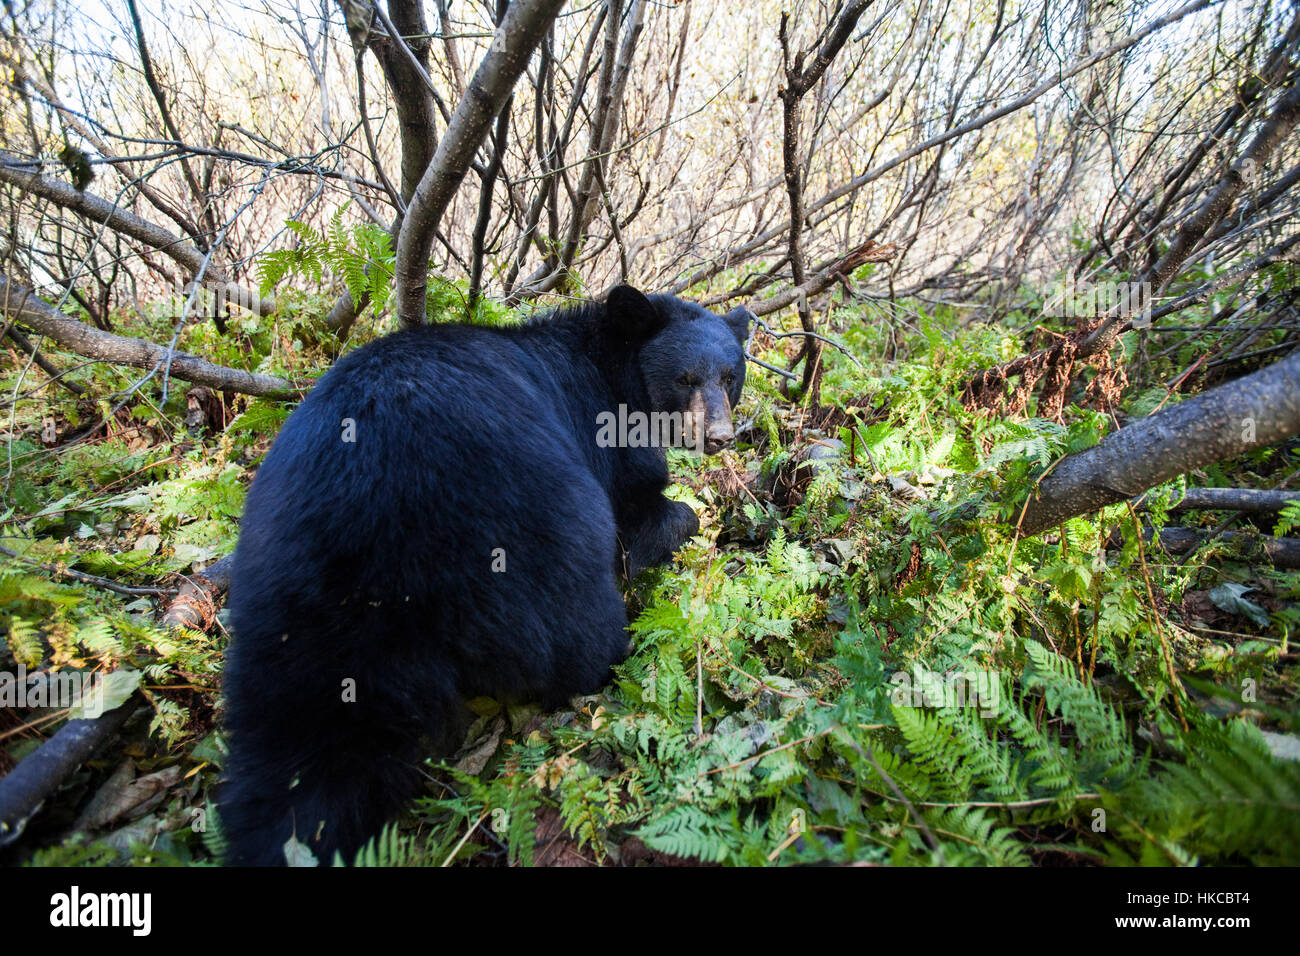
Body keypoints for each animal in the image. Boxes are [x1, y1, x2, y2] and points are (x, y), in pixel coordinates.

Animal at [217, 285, 751, 865]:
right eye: (685, 379)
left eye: (729, 376)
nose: (719, 437)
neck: (611, 364)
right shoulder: (599, 427)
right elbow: (640, 505)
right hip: (533, 528)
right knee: (574, 618)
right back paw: (610, 650)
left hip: (283, 593)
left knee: (288, 741)